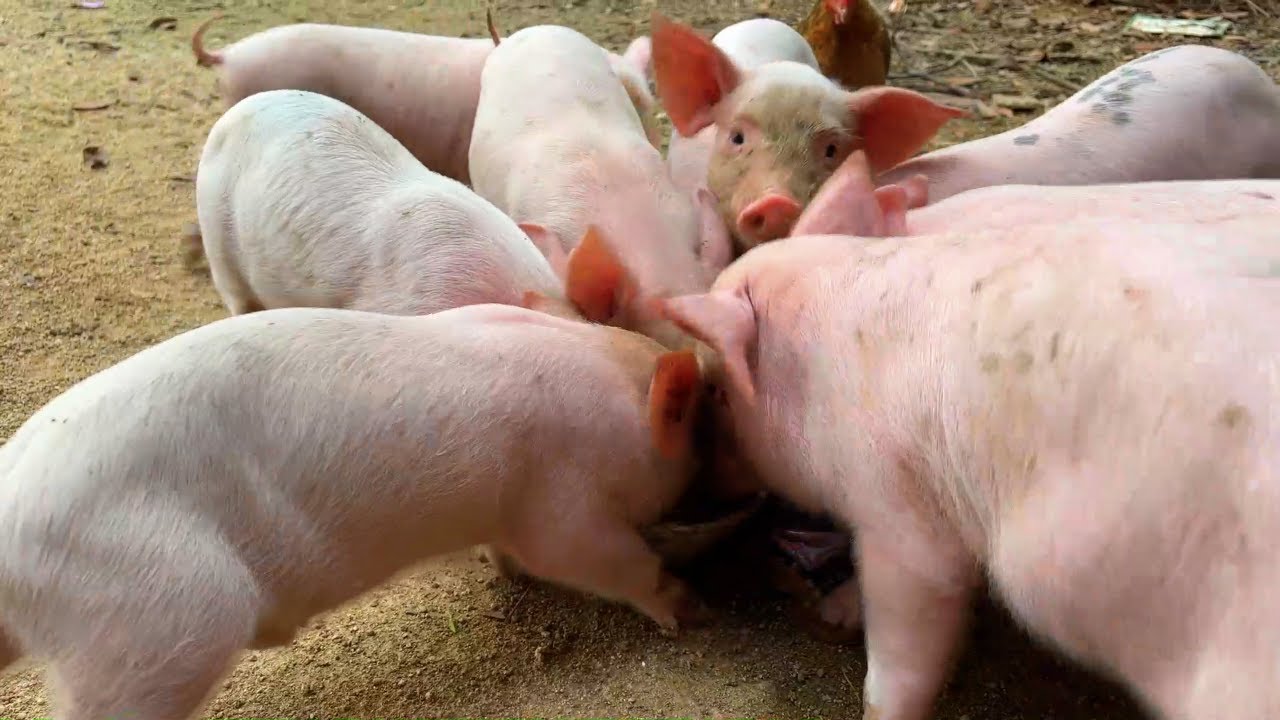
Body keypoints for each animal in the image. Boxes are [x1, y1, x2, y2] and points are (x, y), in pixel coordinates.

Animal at [659, 217, 1280, 720]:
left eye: (718, 391)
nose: (704, 483)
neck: (817, 374)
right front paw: (833, 614)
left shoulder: (896, 505)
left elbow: (909, 630)